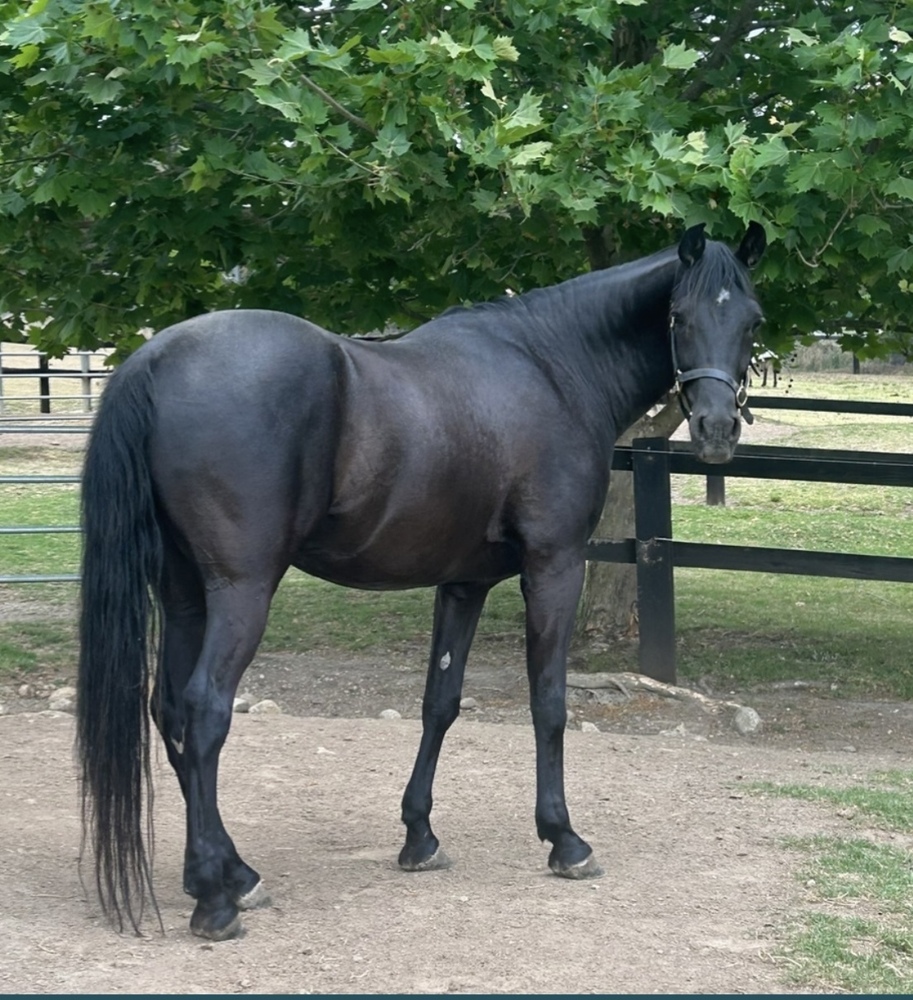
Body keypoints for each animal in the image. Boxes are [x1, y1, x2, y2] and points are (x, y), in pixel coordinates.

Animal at [76, 221, 766, 941]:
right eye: (679, 316)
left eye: (752, 320)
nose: (717, 430)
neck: (551, 365)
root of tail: (153, 360)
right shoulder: (554, 565)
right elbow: (548, 702)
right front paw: (564, 840)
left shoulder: (462, 583)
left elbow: (441, 702)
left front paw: (419, 836)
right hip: (241, 591)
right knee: (206, 710)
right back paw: (215, 899)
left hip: (184, 596)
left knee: (170, 711)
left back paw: (232, 874)